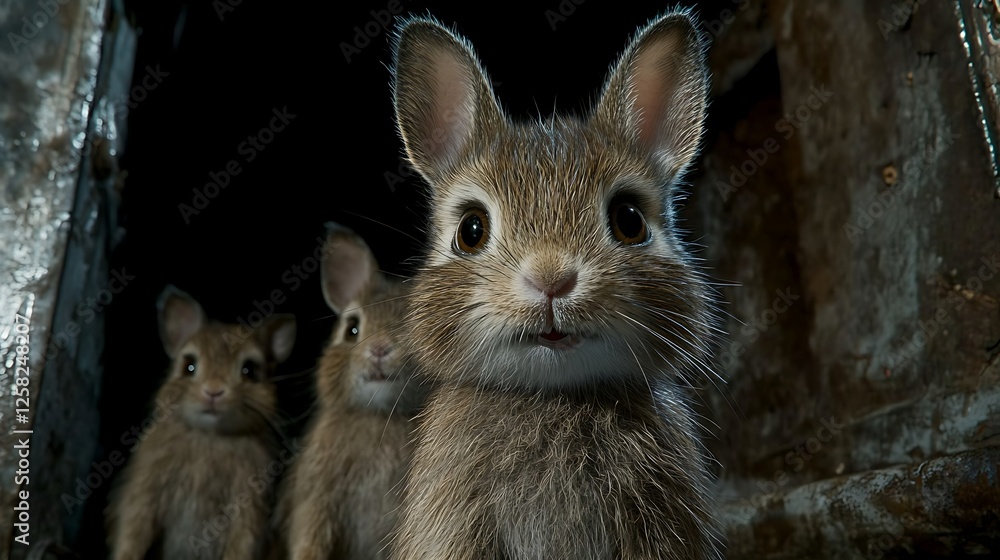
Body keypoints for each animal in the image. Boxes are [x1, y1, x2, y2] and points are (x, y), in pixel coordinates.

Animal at [106, 285, 297, 560]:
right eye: (189, 365)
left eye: (249, 370)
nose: (213, 391)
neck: (210, 436)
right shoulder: (144, 494)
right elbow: (132, 536)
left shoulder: (248, 513)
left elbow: (241, 547)